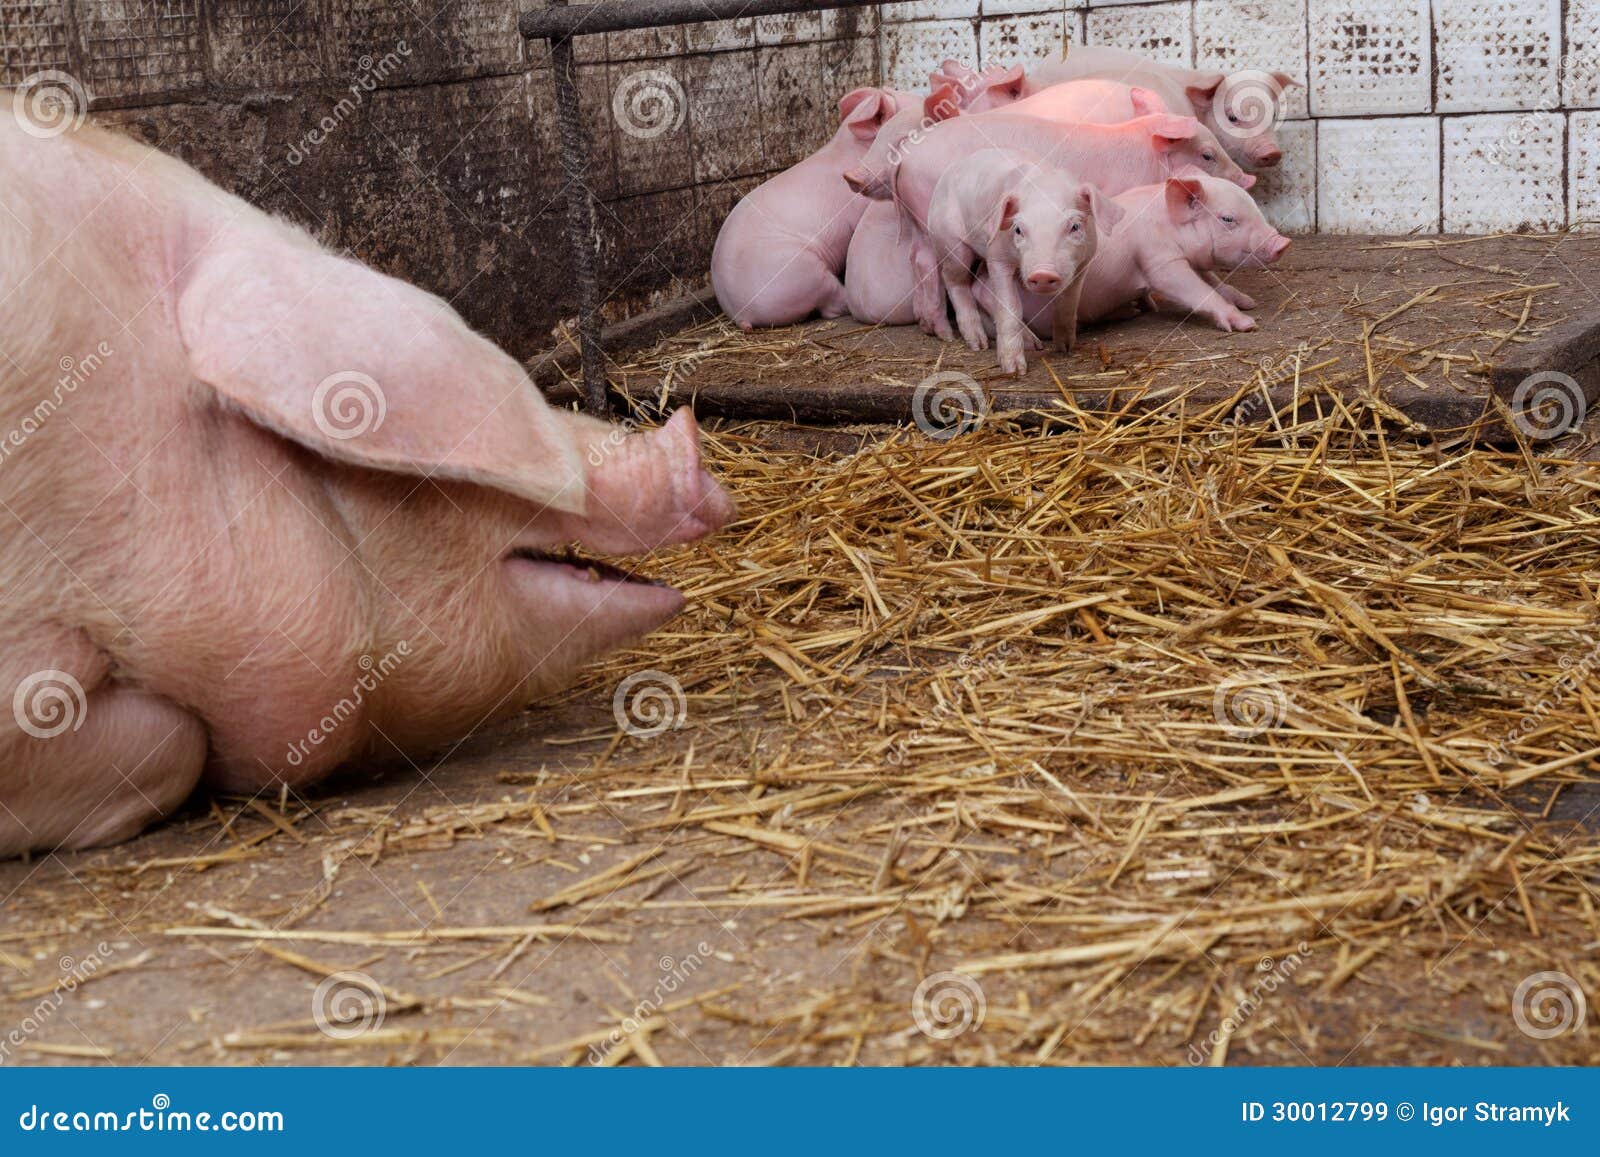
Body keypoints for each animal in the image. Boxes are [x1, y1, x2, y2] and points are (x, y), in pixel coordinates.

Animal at [926, 148, 1120, 373]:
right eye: (1018, 229)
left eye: (1075, 226)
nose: (1042, 273)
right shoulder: (997, 255)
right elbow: (1010, 308)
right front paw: (1014, 370)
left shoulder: (1085, 260)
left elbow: (1069, 301)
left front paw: (1065, 347)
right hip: (950, 243)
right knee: (955, 281)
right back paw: (979, 344)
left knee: (979, 287)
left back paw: (1035, 344)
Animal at [971, 173, 1291, 338]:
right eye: (1227, 219)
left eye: (1254, 207)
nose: (1283, 243)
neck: (1168, 225)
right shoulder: (1159, 261)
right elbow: (1195, 289)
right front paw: (1247, 323)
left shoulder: (1194, 261)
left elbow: (1214, 281)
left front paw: (1248, 302)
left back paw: (1132, 310)